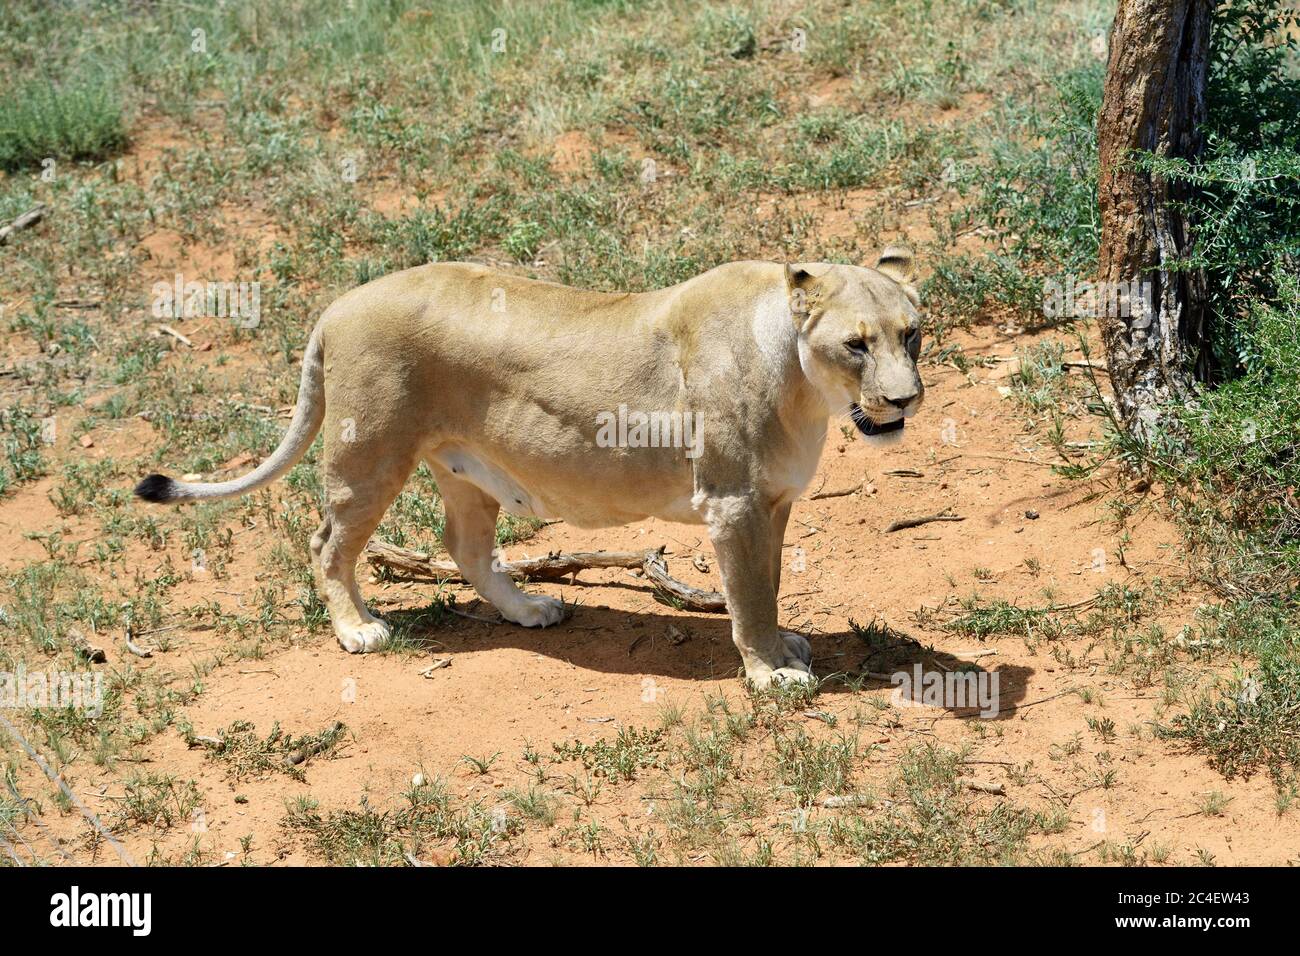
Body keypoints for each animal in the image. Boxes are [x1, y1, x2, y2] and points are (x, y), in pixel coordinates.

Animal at [135, 249, 924, 688]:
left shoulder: (773, 503)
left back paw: (529, 609)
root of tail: (336, 307)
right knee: (327, 542)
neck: (804, 388)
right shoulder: (732, 502)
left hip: (464, 471)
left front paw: (785, 645)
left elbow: (772, 582)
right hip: (371, 452)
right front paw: (770, 671)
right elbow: (750, 594)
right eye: (856, 344)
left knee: (464, 547)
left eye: (911, 334)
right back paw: (358, 629)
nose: (906, 399)